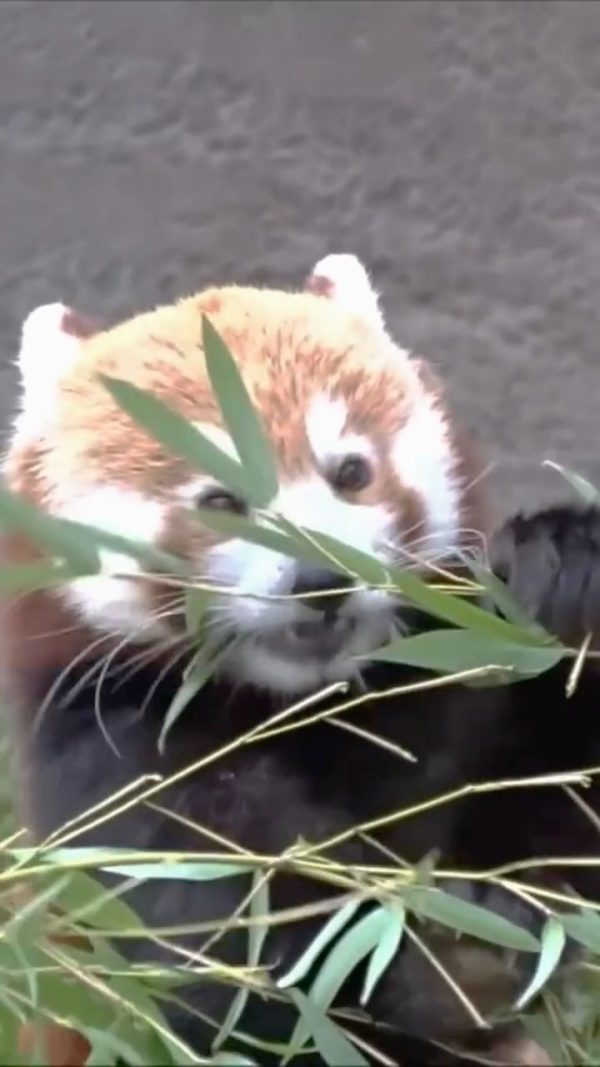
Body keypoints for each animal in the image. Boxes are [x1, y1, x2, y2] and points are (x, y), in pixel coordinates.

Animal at [0, 254, 599, 1066]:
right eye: (219, 501)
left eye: (350, 473)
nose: (320, 578)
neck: (306, 706)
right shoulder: (106, 752)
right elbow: (232, 950)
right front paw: (440, 966)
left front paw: (564, 558)